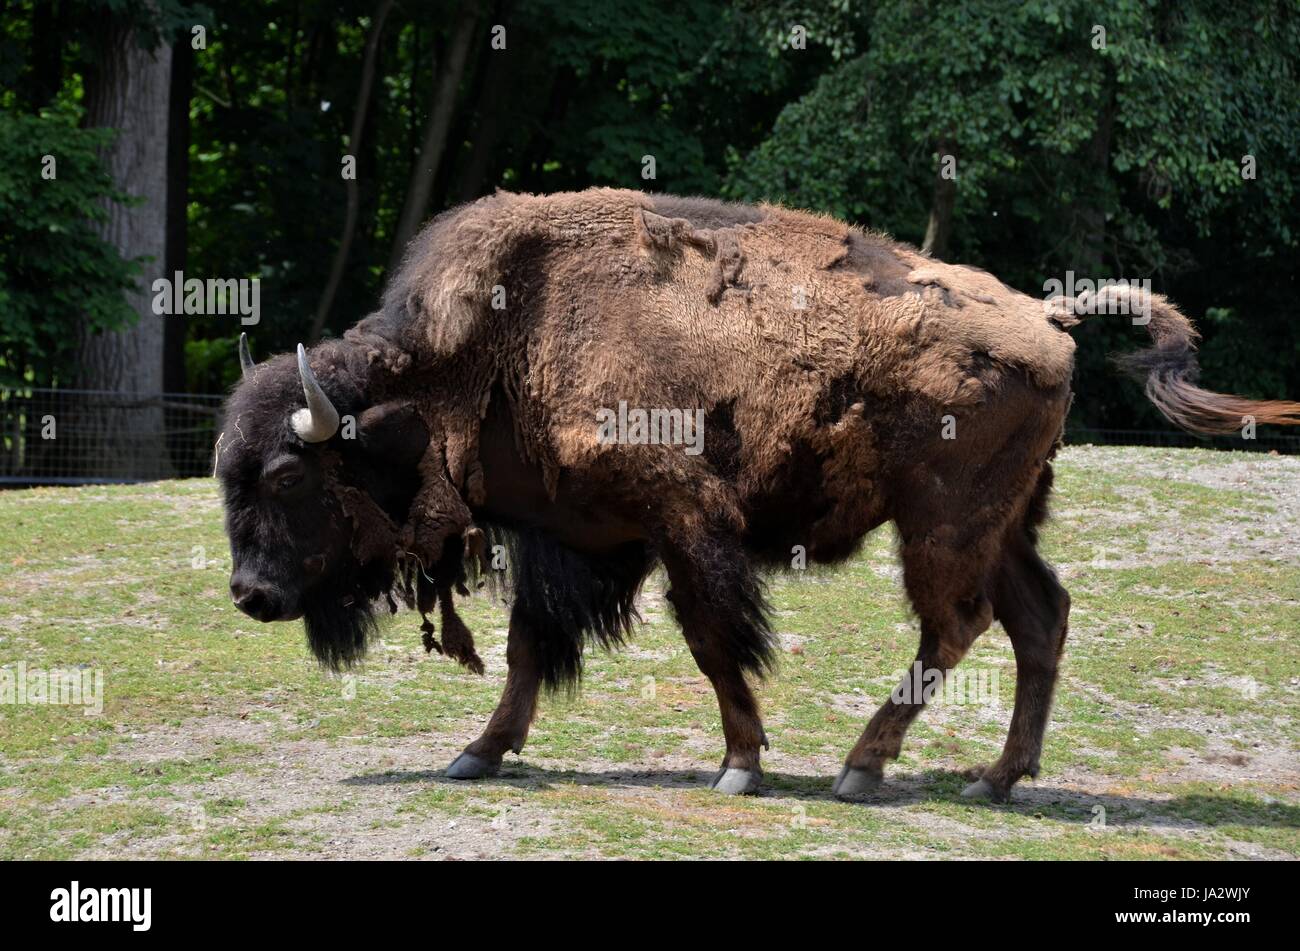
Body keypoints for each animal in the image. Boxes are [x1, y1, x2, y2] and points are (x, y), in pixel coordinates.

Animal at [216, 188, 1300, 800]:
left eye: (289, 474)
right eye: (230, 469)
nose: (249, 594)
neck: (490, 346)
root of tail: (1043, 317)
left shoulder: (684, 523)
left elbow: (711, 642)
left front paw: (741, 764)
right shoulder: (565, 537)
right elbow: (530, 650)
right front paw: (477, 754)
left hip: (940, 526)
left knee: (959, 625)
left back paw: (864, 767)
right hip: (1002, 523)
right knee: (1039, 617)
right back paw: (1000, 779)